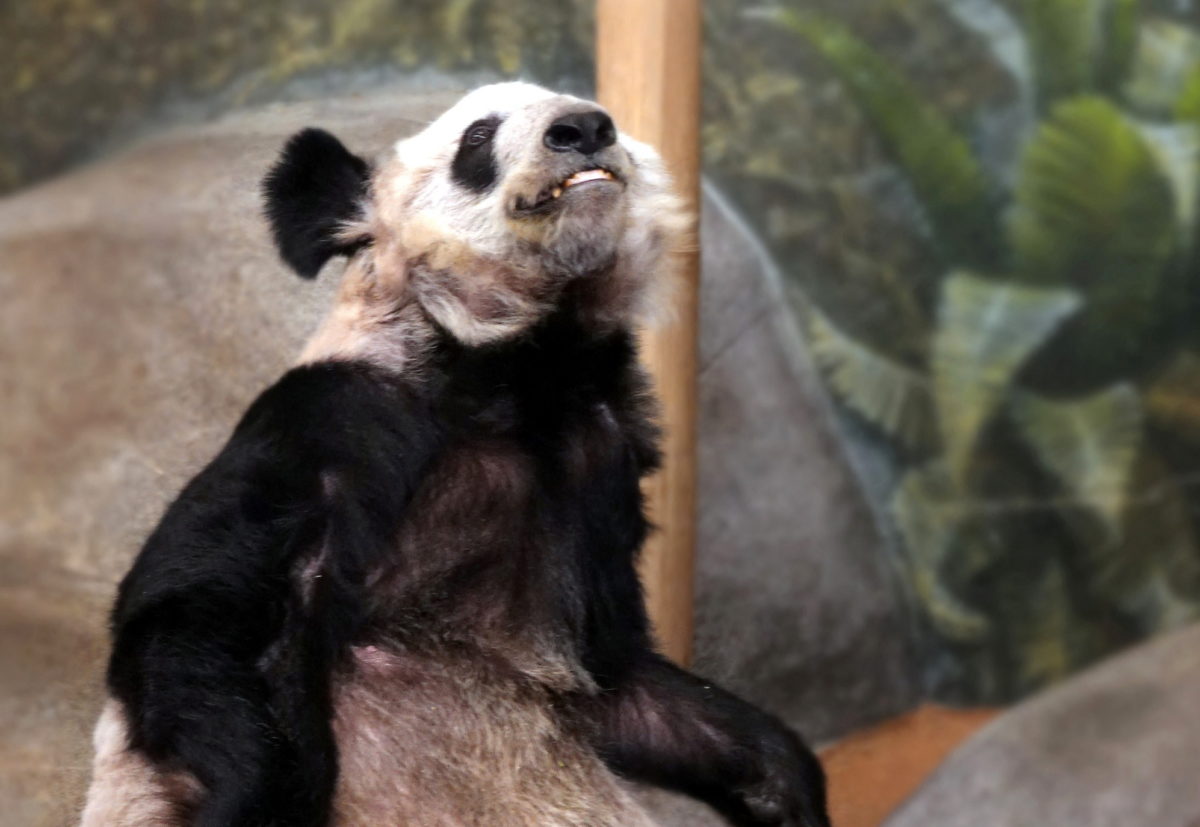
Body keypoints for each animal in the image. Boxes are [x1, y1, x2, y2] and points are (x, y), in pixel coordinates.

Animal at [80, 82, 829, 827]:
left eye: (597, 112)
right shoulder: (338, 414)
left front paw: (783, 784)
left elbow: (624, 675)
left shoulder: (592, 470)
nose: (584, 127)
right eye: (479, 136)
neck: (515, 365)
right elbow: (199, 599)